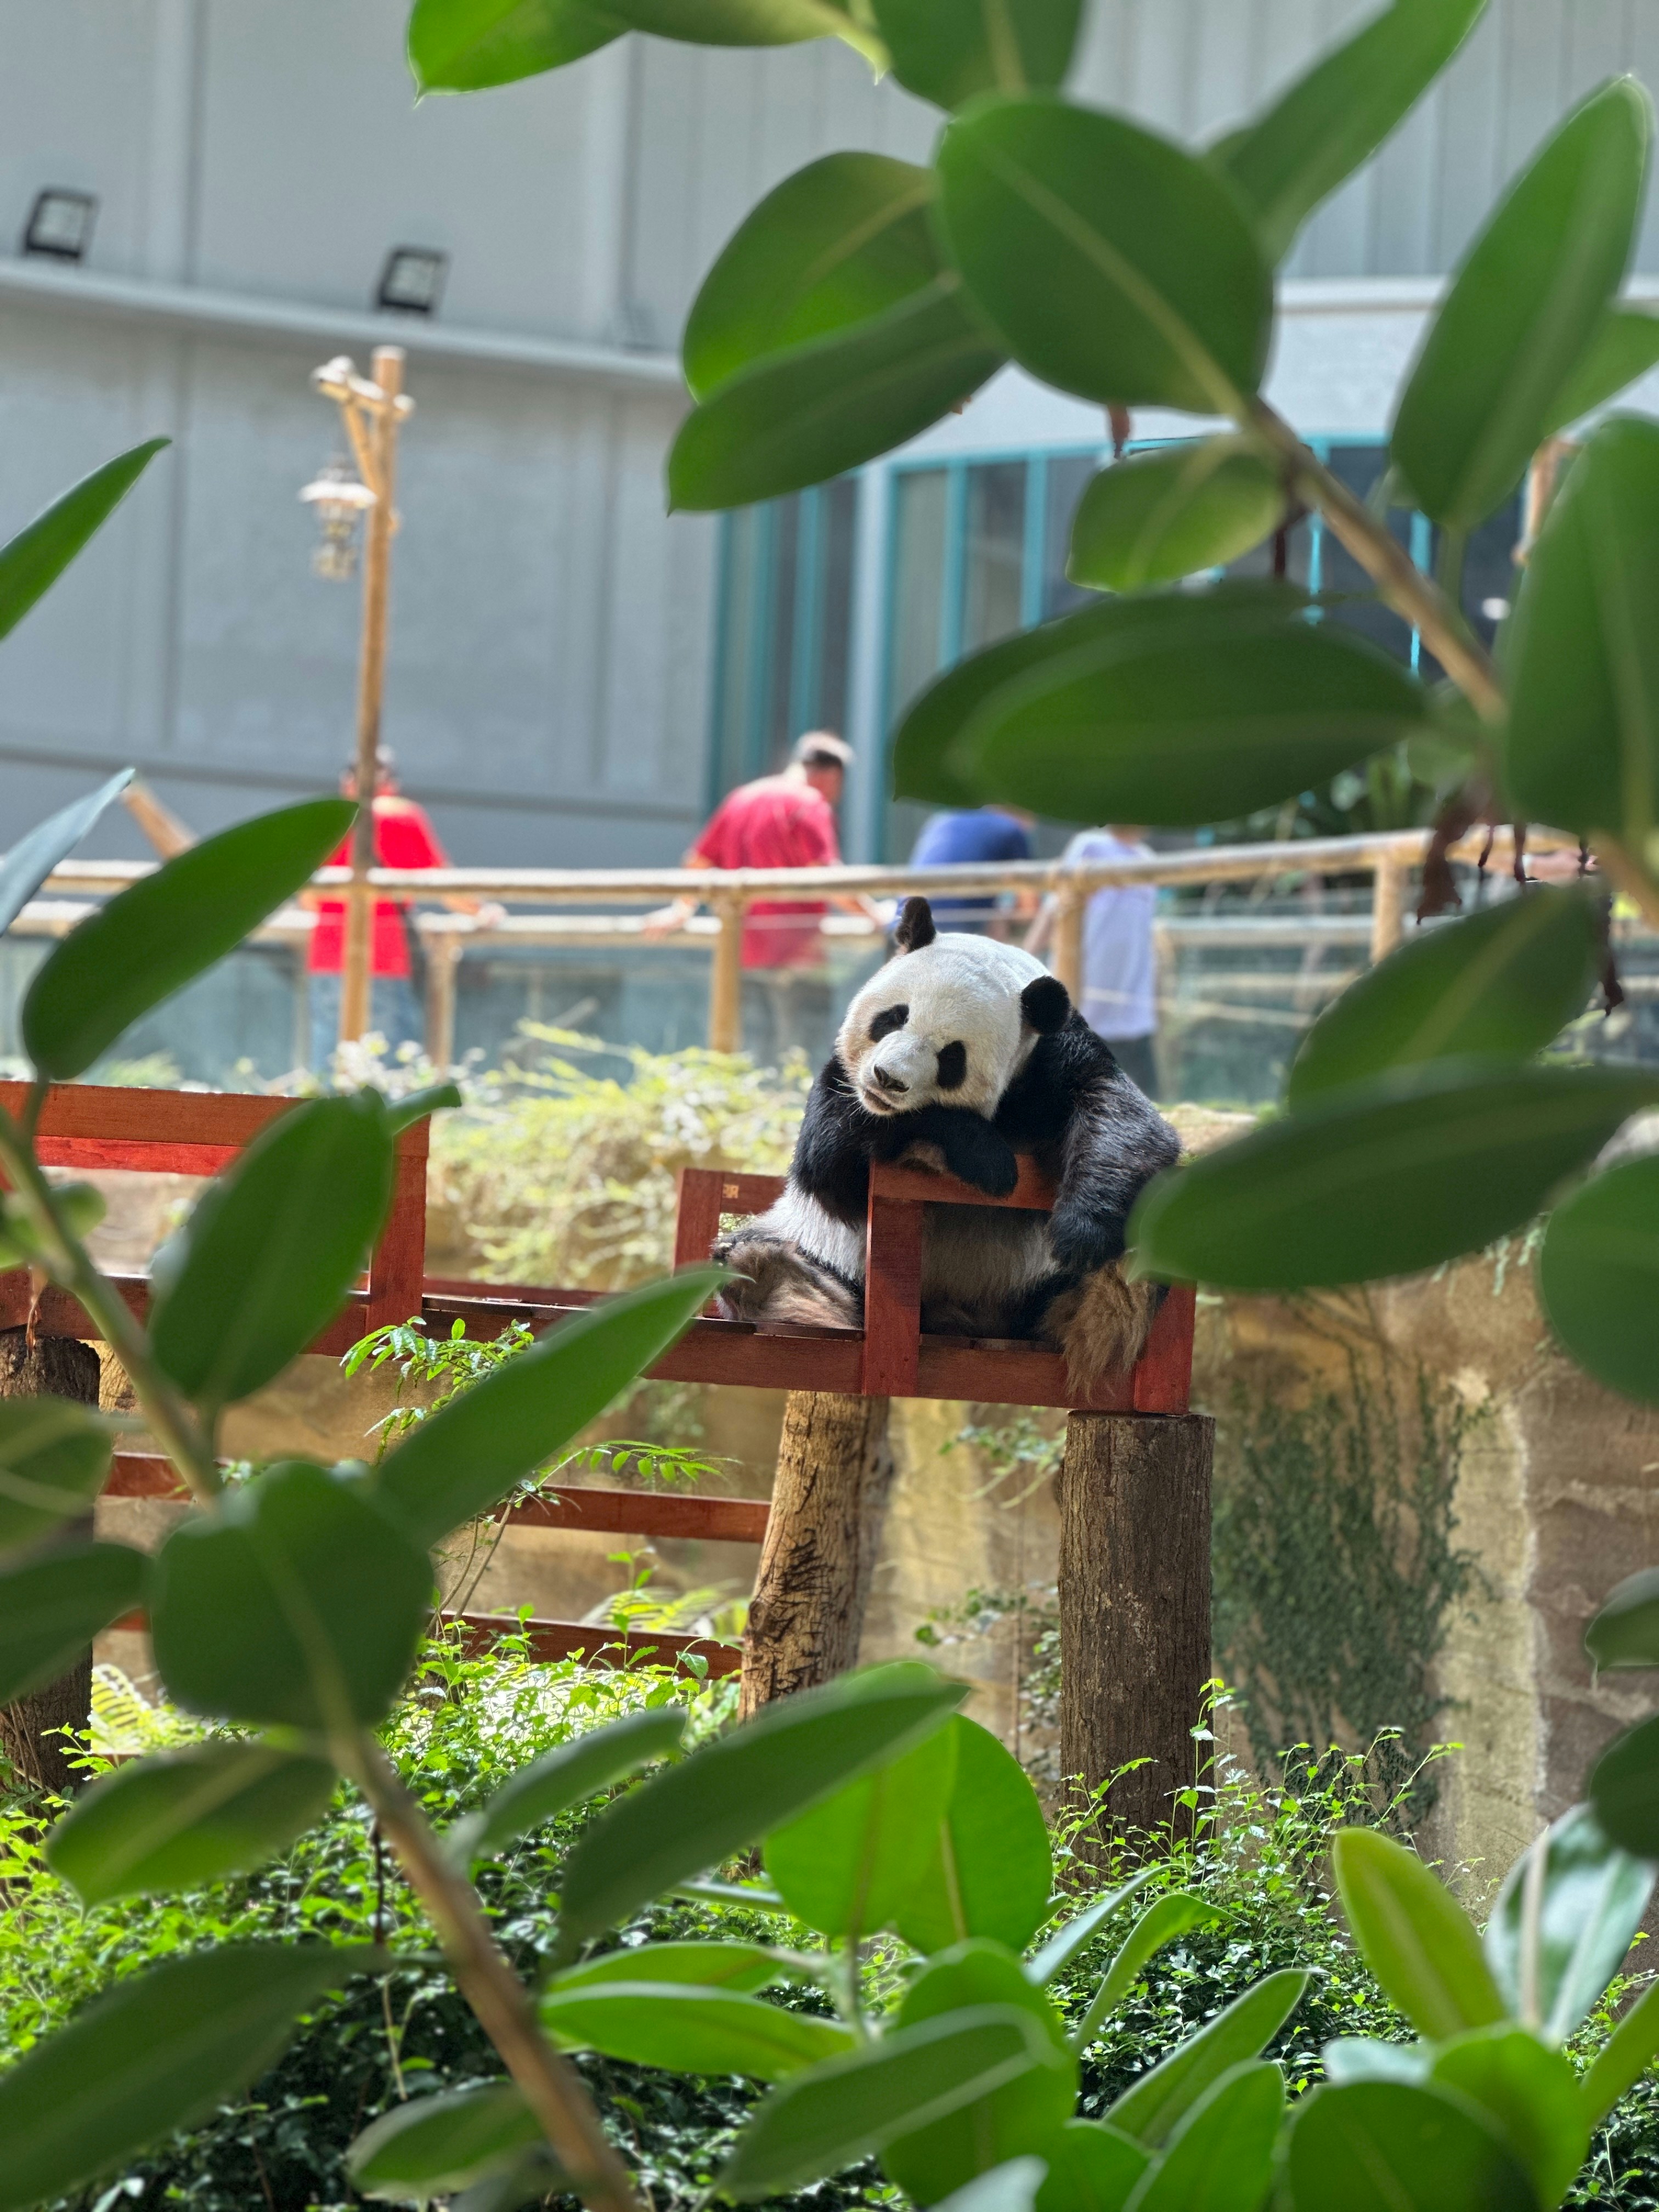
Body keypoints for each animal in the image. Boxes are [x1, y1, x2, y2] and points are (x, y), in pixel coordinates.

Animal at [715, 895, 1182, 1387]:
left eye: (952, 1056)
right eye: (893, 1017)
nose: (888, 1079)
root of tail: (962, 1319)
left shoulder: (1056, 1057)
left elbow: (1125, 1119)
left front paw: (1080, 1233)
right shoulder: (846, 1087)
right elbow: (829, 1162)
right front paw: (989, 1160)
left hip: (1035, 1285)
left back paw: (1097, 1325)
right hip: (826, 1253)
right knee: (754, 1255)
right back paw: (786, 1296)